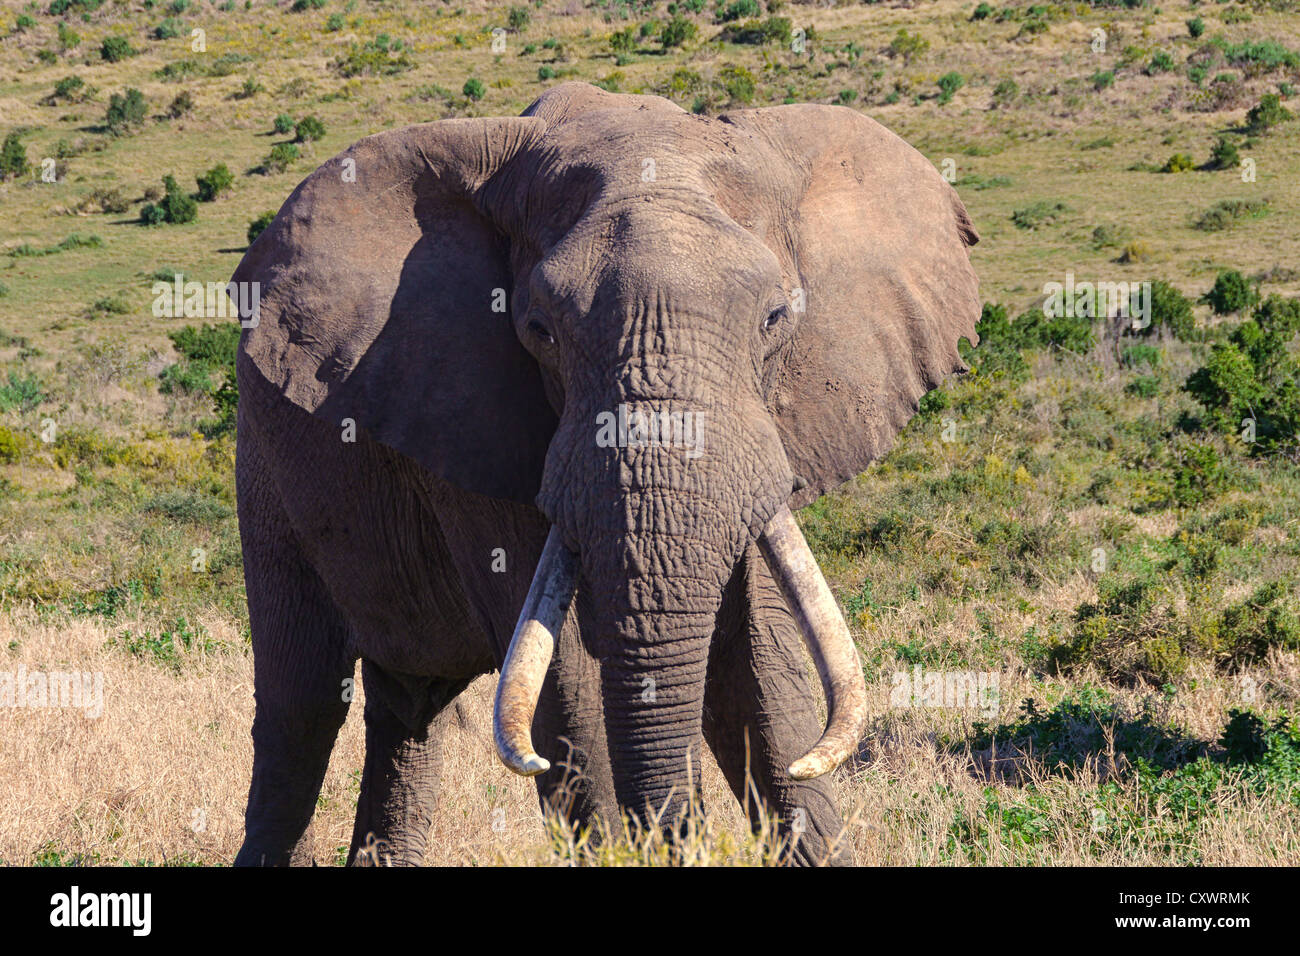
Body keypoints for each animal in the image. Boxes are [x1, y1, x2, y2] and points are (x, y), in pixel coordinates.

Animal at [228, 82, 979, 867]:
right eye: (540, 331)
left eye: (776, 319)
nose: (686, 835)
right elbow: (568, 678)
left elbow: (759, 661)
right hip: (264, 462)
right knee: (301, 706)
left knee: (412, 705)